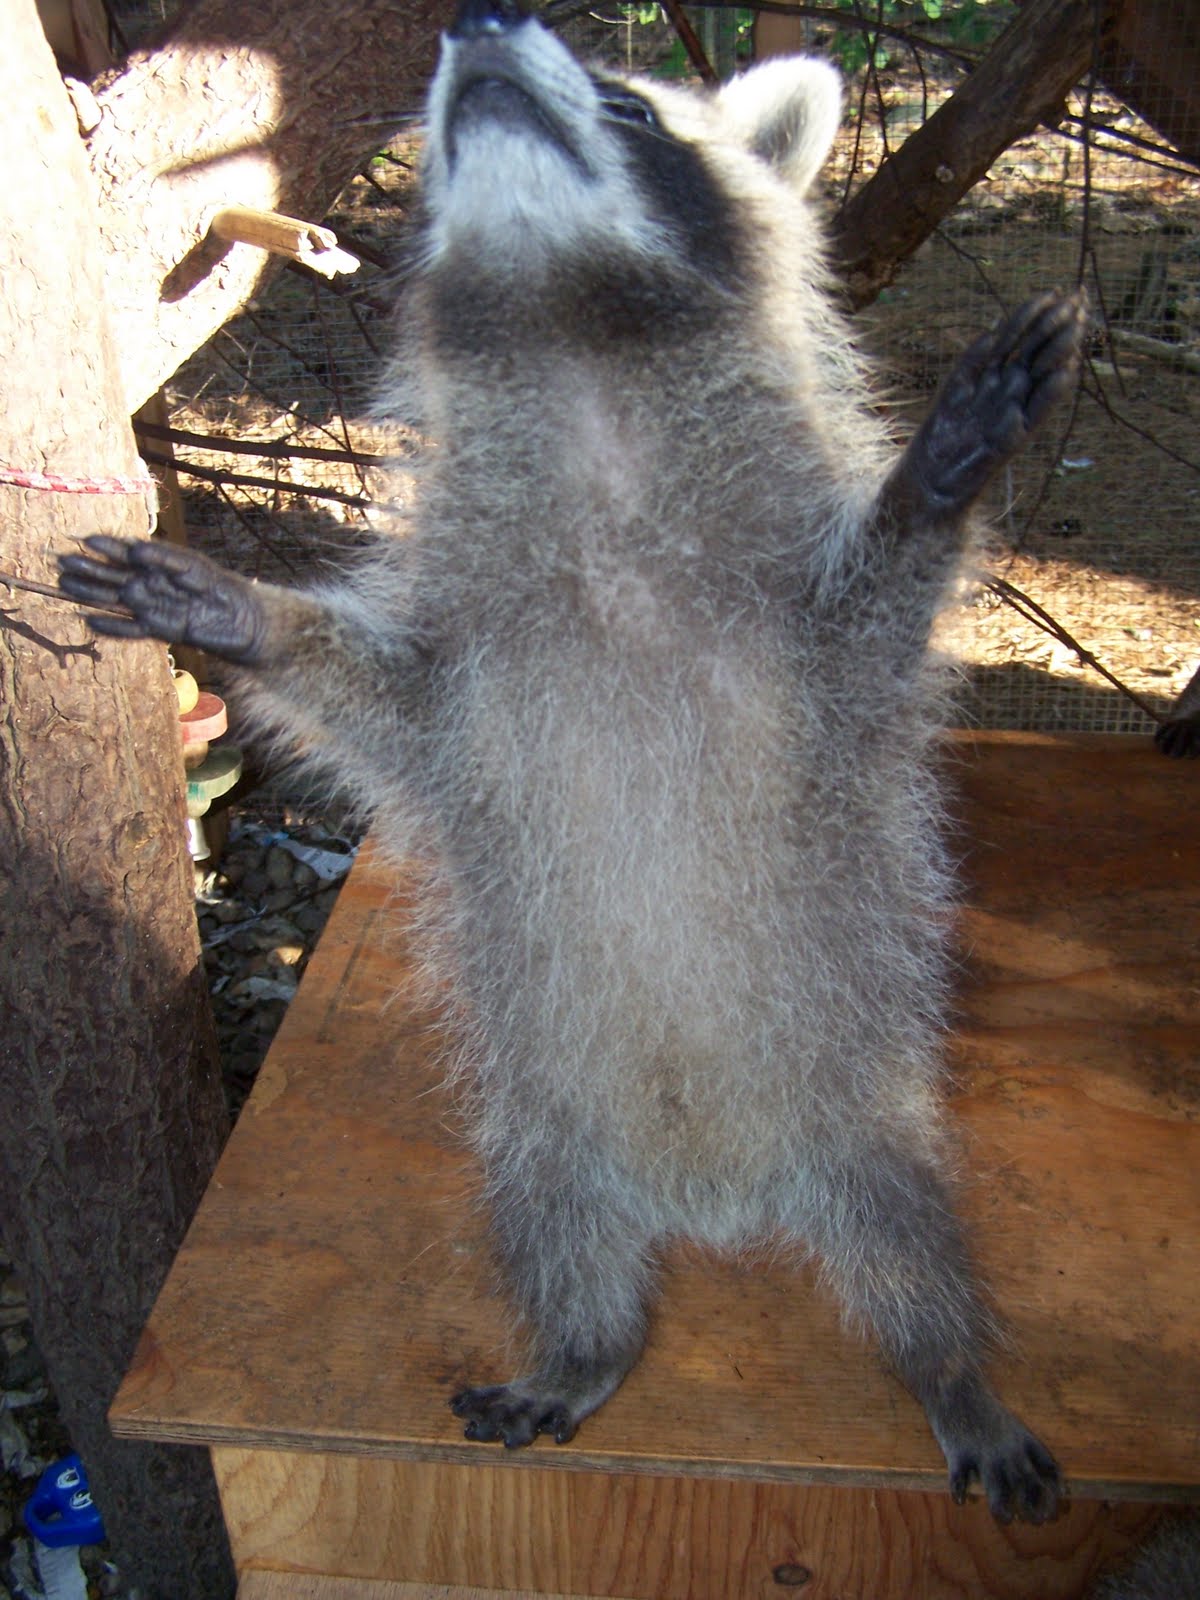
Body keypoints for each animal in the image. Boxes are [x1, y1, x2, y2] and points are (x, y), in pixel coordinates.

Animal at [60, 0, 1084, 1523]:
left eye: (635, 108)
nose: (481, 22)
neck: (577, 351)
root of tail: (715, 1198)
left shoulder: (815, 657)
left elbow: (881, 612)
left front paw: (934, 479)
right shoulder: (472, 677)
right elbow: (382, 712)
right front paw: (244, 614)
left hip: (863, 1119)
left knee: (914, 1249)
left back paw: (948, 1370)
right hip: (541, 1131)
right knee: (552, 1229)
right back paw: (584, 1345)